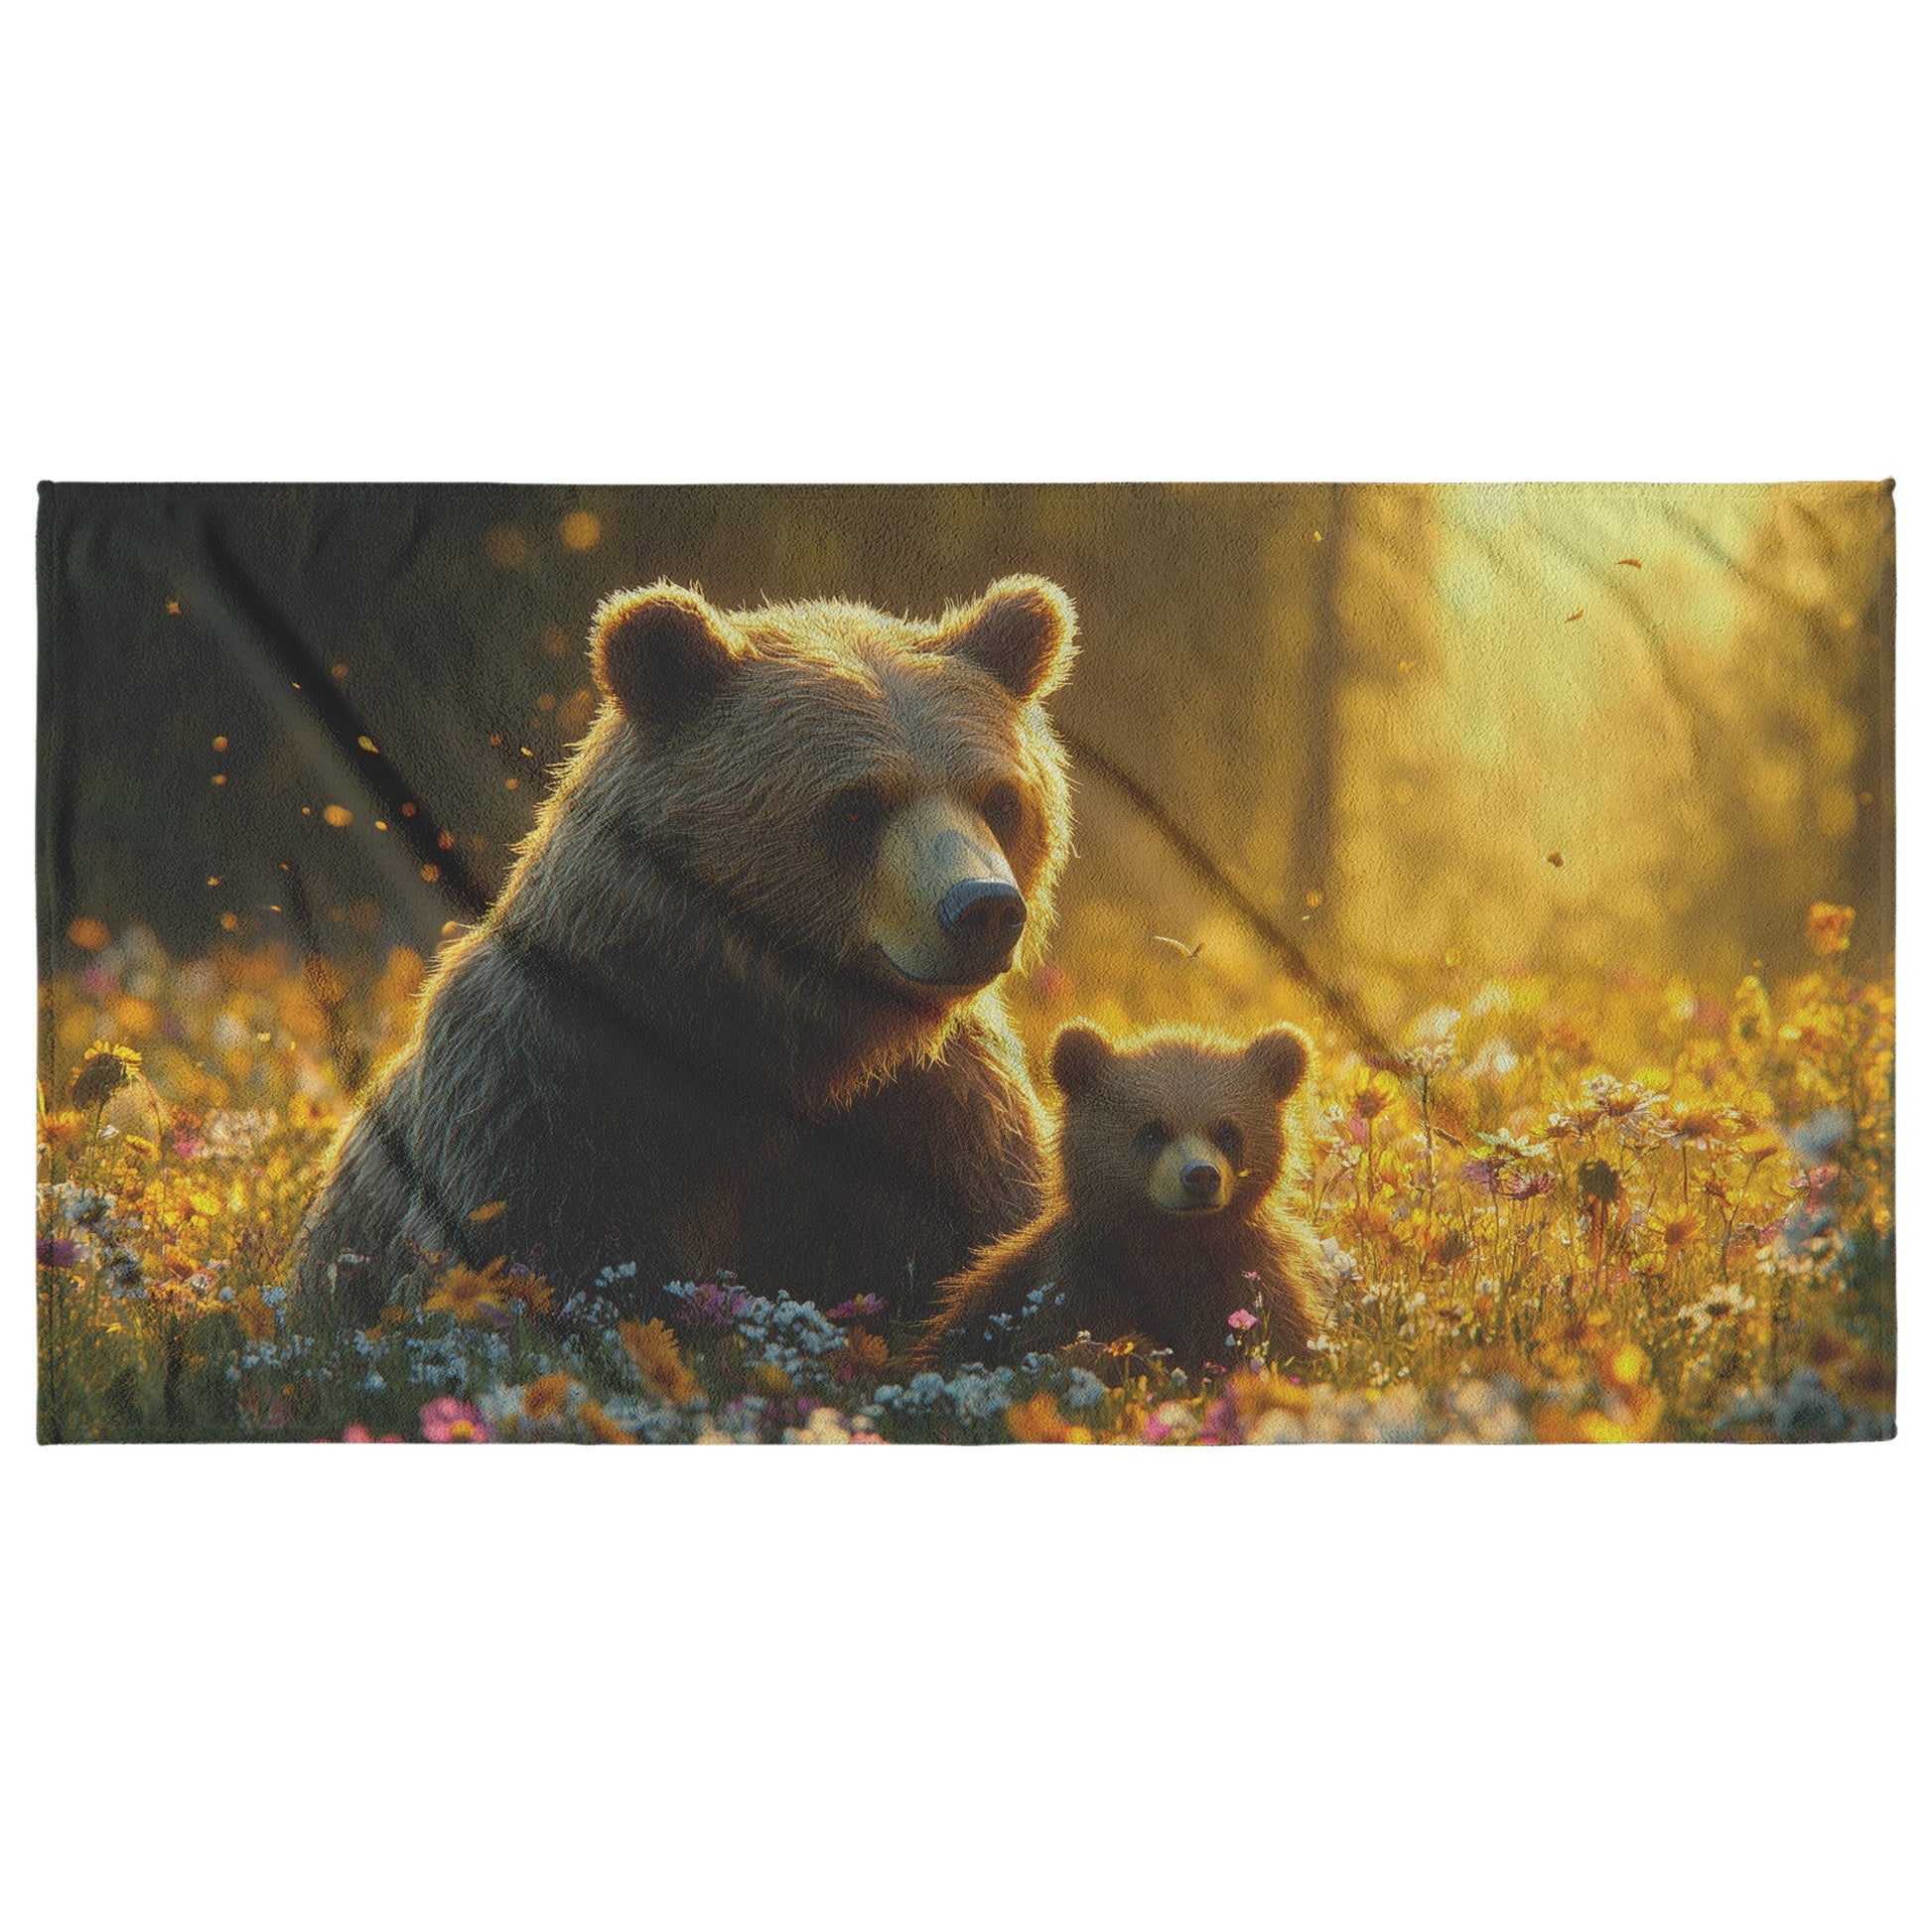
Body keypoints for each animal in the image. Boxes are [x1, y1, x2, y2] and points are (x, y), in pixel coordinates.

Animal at [297, 574, 1080, 1323]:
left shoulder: (940, 1110)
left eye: (1001, 799)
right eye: (857, 805)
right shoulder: (548, 1087)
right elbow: (548, 1248)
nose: (982, 908)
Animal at [920, 1018, 1328, 1373]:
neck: (1172, 1240)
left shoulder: (1245, 1271)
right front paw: (1137, 1353)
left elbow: (1281, 1337)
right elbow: (1065, 1340)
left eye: (1228, 1132)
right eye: (1152, 1131)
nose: (1200, 1176)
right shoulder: (1083, 1274)